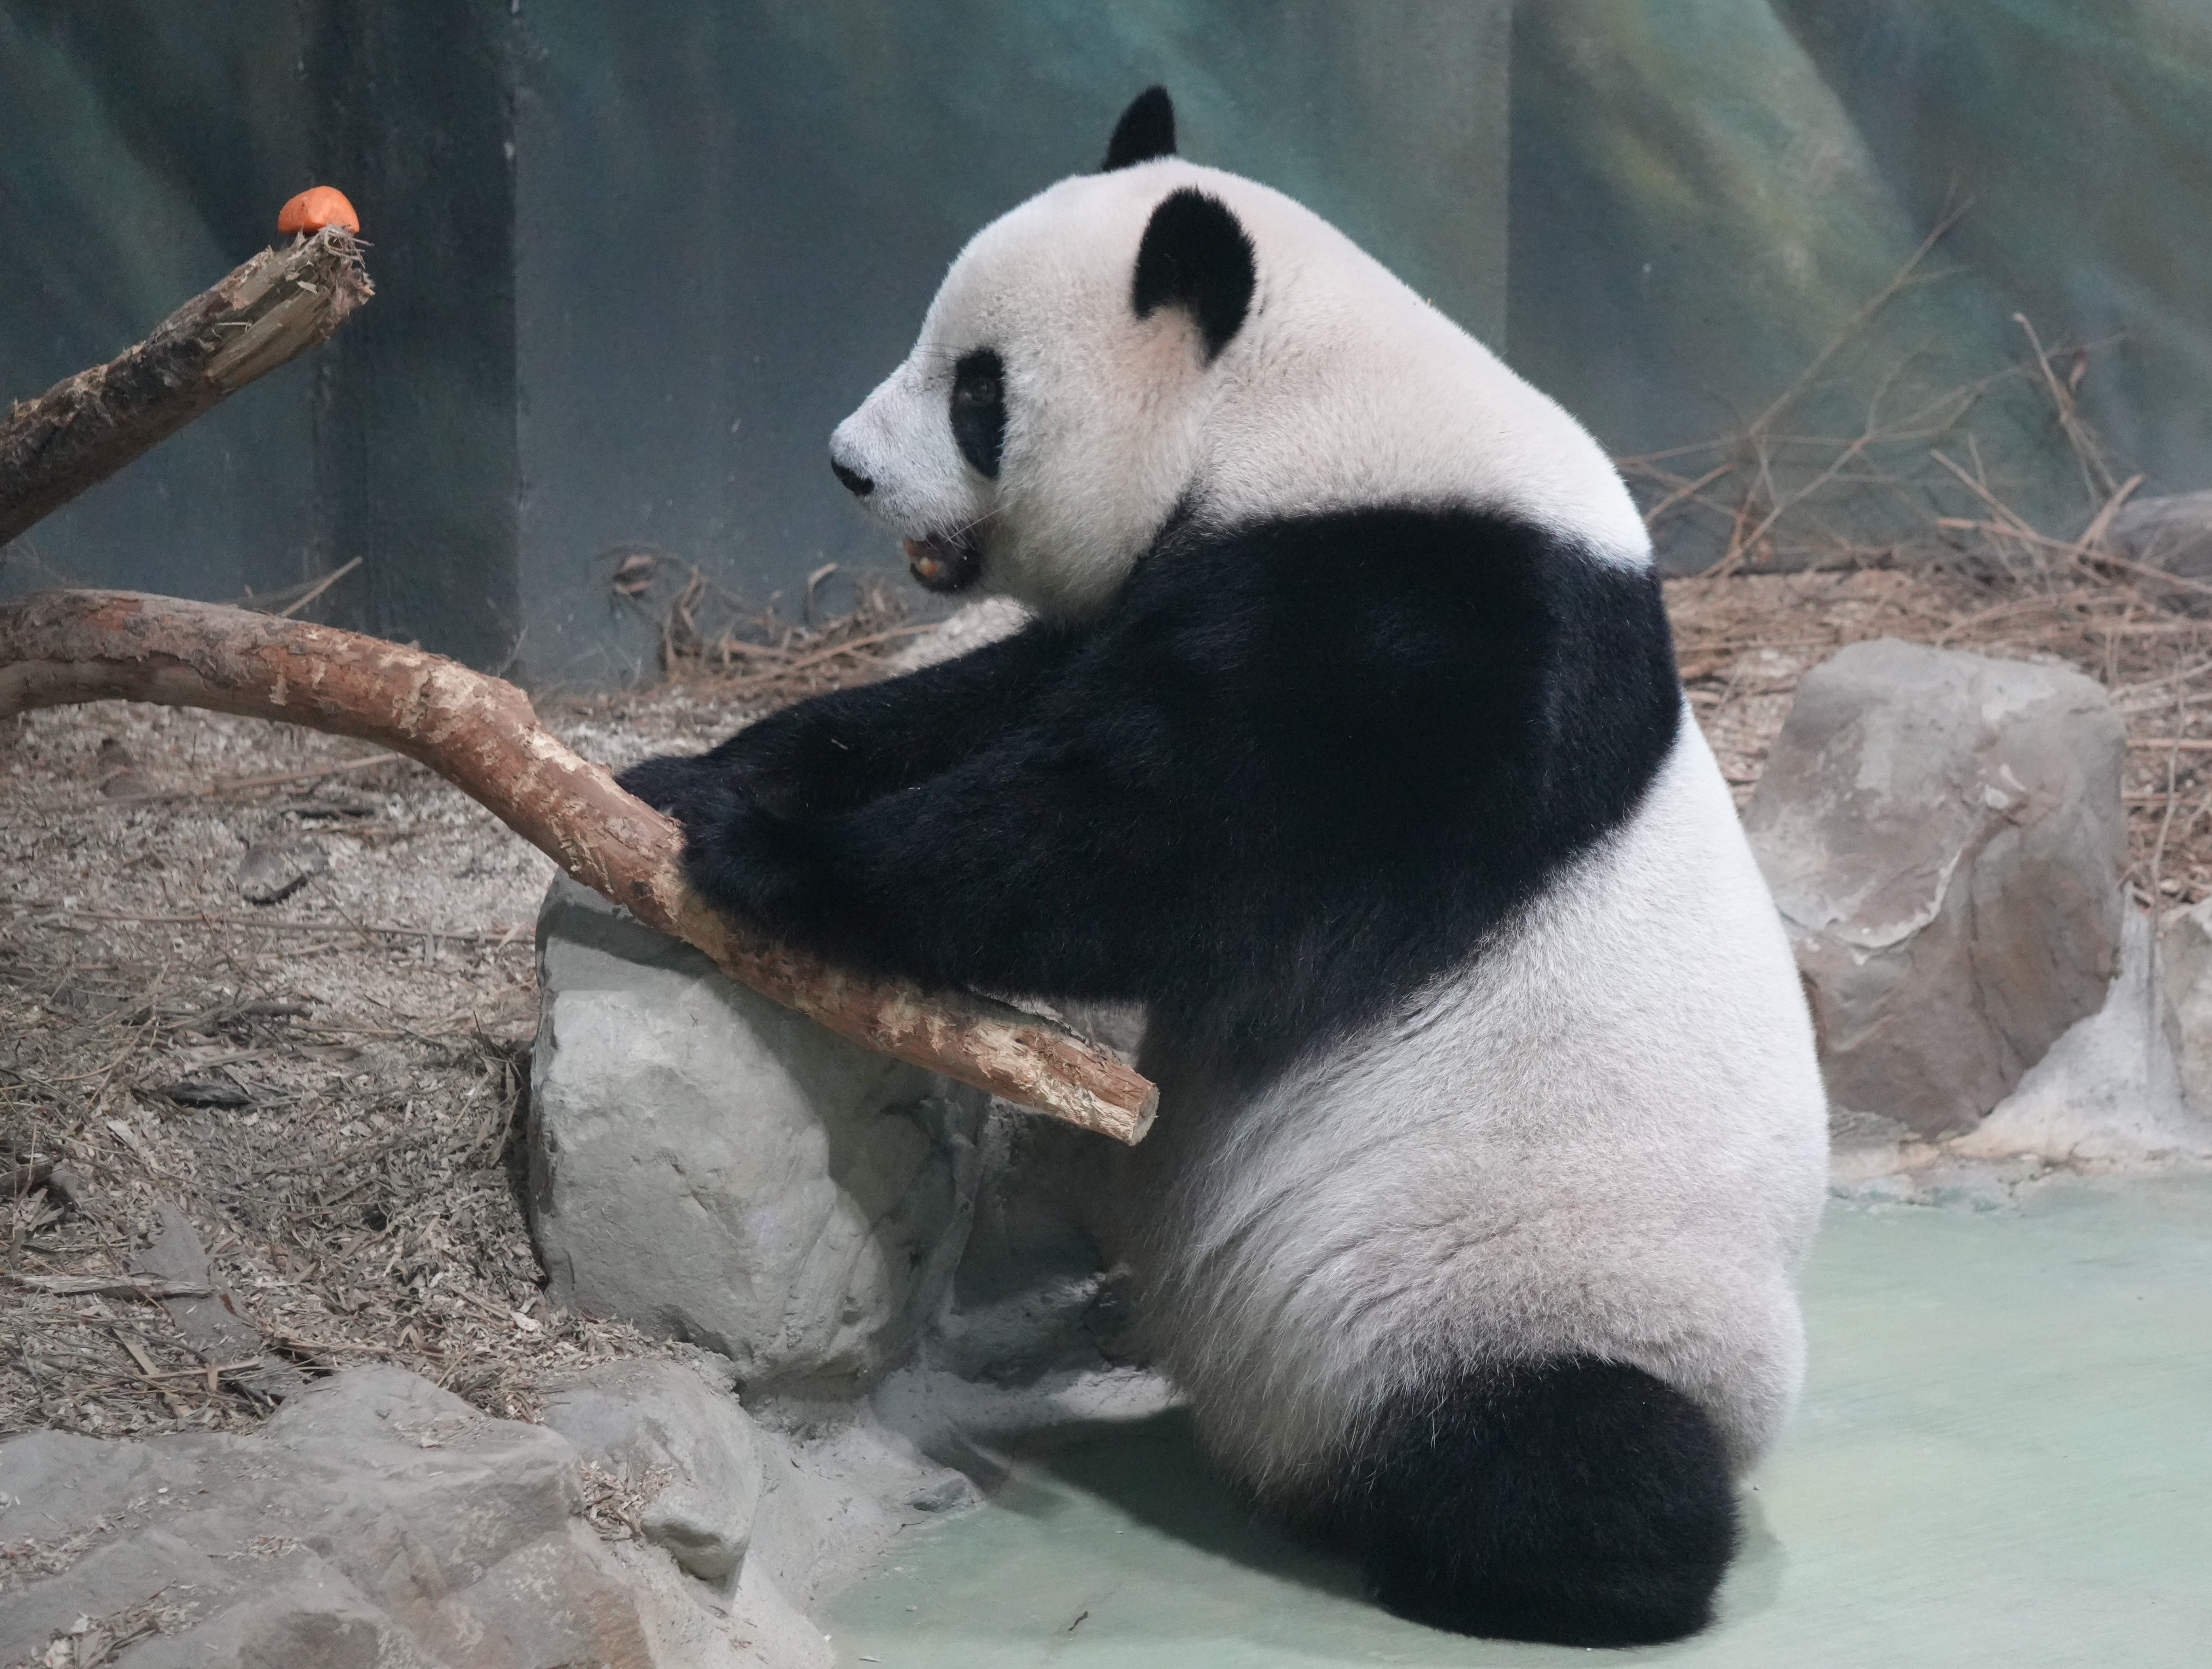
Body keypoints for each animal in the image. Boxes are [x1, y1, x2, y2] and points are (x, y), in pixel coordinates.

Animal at [622, 87, 1828, 1648]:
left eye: (977, 391)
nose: (846, 461)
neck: (1305, 403)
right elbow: (1006, 703)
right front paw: (696, 777)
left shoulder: (1427, 632)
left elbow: (1159, 842)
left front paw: (773, 859)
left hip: (1544, 1288)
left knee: (1577, 1451)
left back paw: (1541, 1568)